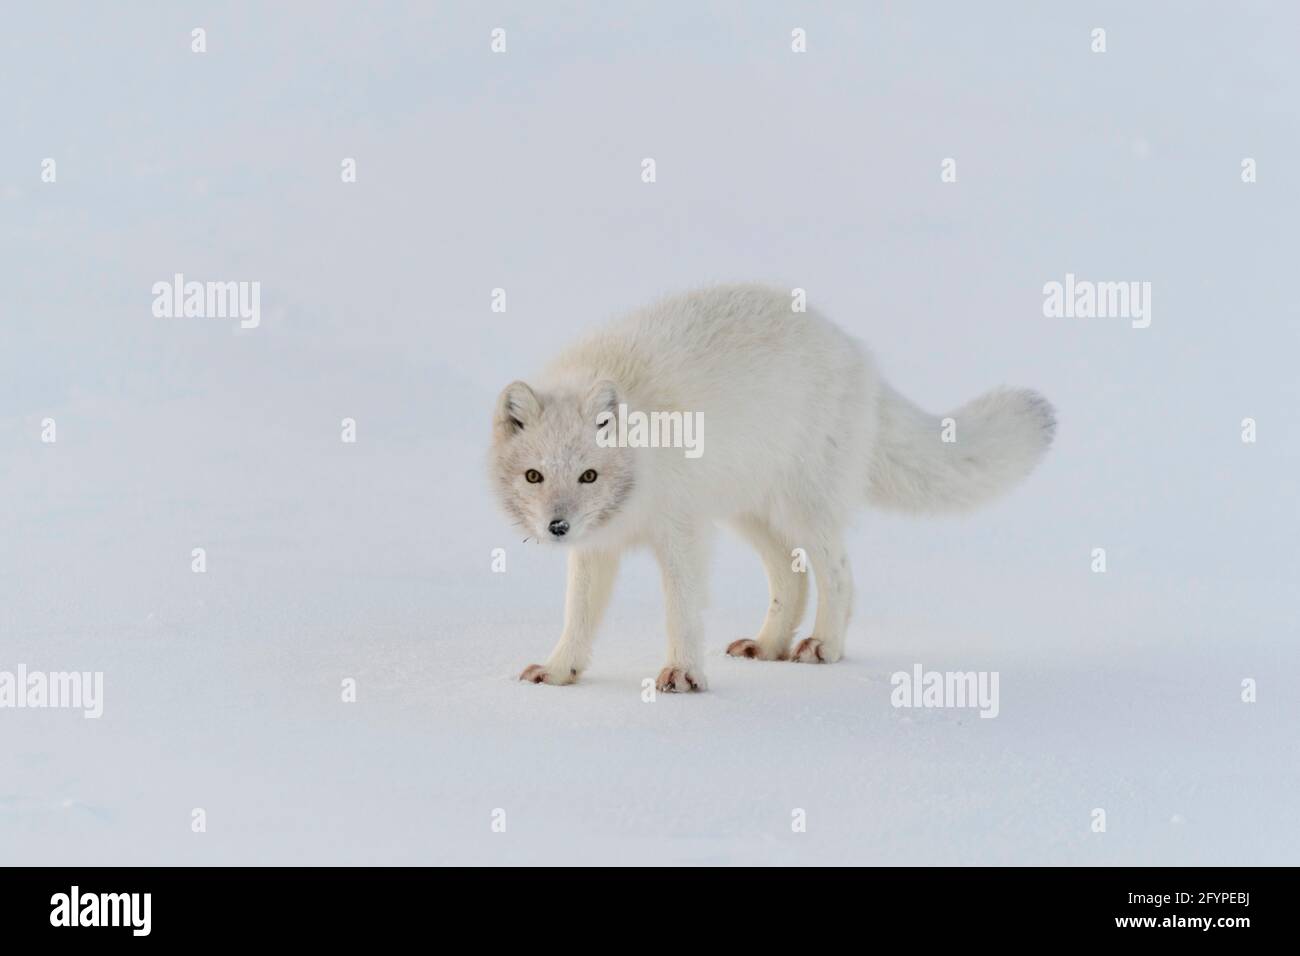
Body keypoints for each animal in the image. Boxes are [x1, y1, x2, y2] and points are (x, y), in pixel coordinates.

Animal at [490, 284, 1055, 693]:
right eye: (534, 476)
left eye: (589, 475)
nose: (557, 527)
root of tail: (855, 351)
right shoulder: (597, 547)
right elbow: (579, 616)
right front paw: (559, 671)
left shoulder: (682, 534)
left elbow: (682, 610)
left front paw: (683, 676)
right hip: (751, 512)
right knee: (792, 577)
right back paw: (769, 646)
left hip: (804, 509)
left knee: (840, 577)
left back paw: (824, 645)